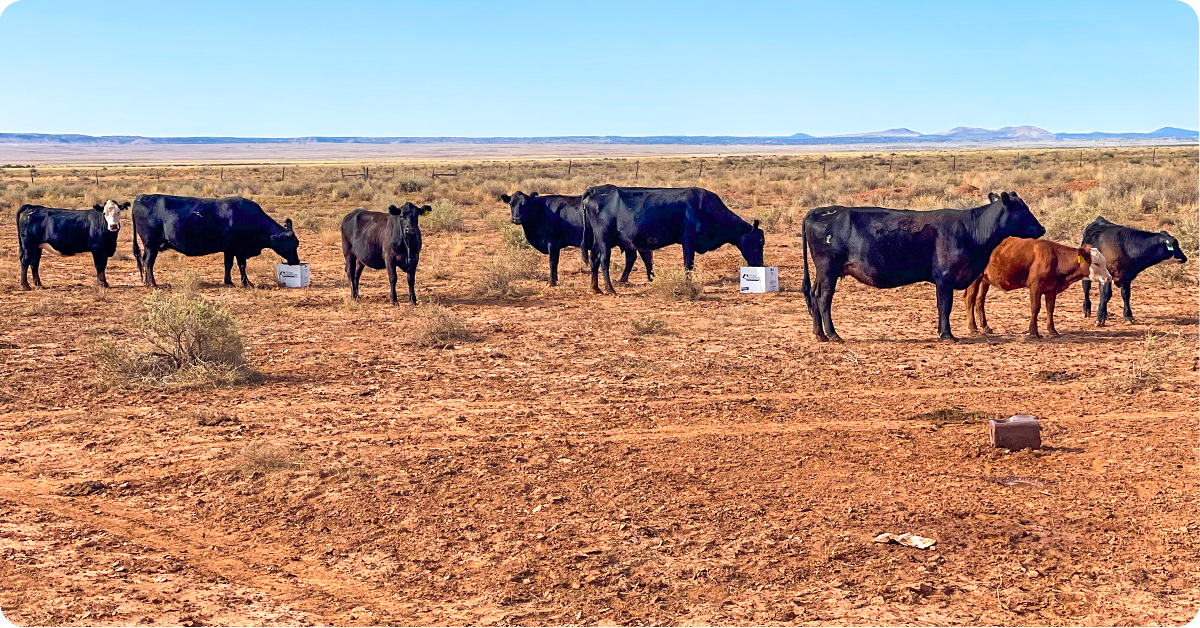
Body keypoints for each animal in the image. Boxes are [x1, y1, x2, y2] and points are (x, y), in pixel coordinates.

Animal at [131, 194, 300, 288]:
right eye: (292, 243)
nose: (297, 261)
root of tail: (141, 197)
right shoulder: (233, 248)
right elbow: (233, 265)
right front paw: (233, 282)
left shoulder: (237, 250)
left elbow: (238, 265)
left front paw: (242, 282)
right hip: (151, 245)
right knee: (149, 262)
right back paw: (153, 283)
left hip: (149, 246)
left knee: (145, 261)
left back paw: (148, 282)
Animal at [501, 190, 651, 286]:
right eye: (511, 204)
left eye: (524, 204)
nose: (517, 218)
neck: (542, 210)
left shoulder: (552, 243)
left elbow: (552, 262)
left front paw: (551, 282)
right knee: (635, 257)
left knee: (638, 257)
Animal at [580, 185, 764, 294]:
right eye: (759, 242)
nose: (760, 264)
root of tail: (596, 189)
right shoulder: (688, 241)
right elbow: (688, 264)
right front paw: (687, 284)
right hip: (604, 238)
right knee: (604, 260)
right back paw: (610, 289)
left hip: (597, 241)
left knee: (594, 259)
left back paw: (595, 288)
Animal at [801, 191, 1045, 342]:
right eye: (1023, 209)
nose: (1041, 229)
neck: (971, 229)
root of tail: (819, 211)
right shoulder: (945, 277)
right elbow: (945, 306)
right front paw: (947, 335)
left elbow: (941, 306)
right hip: (828, 269)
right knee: (823, 298)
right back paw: (833, 335)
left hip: (822, 273)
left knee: (813, 294)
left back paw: (819, 334)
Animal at [964, 238, 1111, 338]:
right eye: (1096, 263)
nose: (1109, 278)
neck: (1055, 258)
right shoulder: (1035, 286)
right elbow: (1035, 308)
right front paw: (1033, 332)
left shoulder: (1051, 290)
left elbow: (1050, 309)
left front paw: (1052, 331)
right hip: (975, 278)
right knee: (970, 299)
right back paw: (973, 328)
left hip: (985, 279)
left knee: (980, 300)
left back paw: (985, 327)